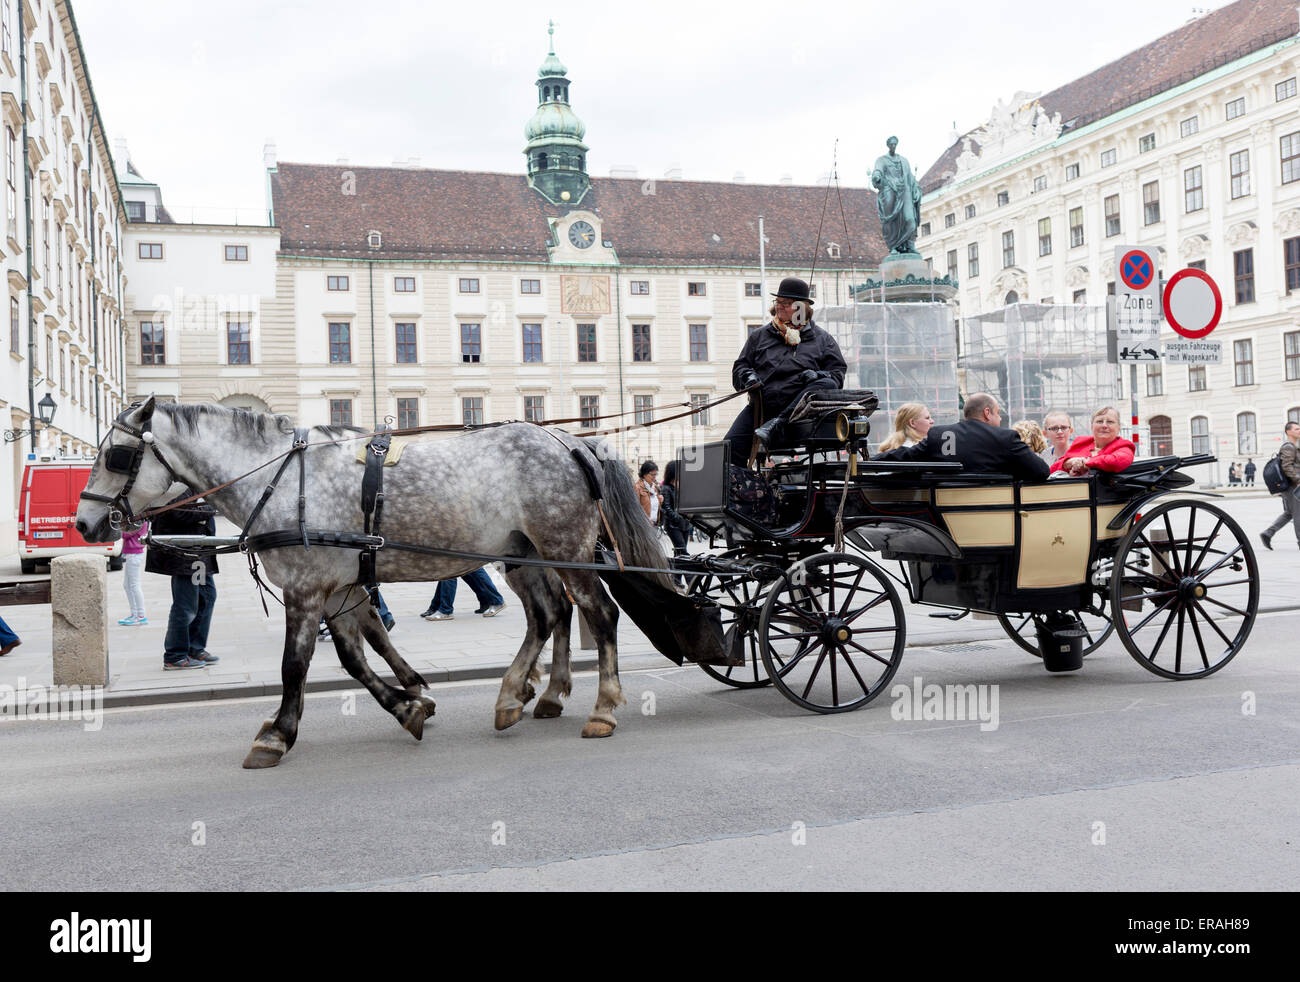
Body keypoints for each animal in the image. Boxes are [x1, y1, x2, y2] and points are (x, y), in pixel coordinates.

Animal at [74, 397, 676, 768]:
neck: (282, 477)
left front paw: (277, 733)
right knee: (550, 614)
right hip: (522, 554)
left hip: (566, 550)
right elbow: (357, 655)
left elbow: (297, 665)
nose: (84, 524)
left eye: (116, 456)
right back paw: (522, 694)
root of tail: (569, 442)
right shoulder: (340, 588)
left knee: (599, 614)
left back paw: (601, 707)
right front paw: (408, 703)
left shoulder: (306, 588)